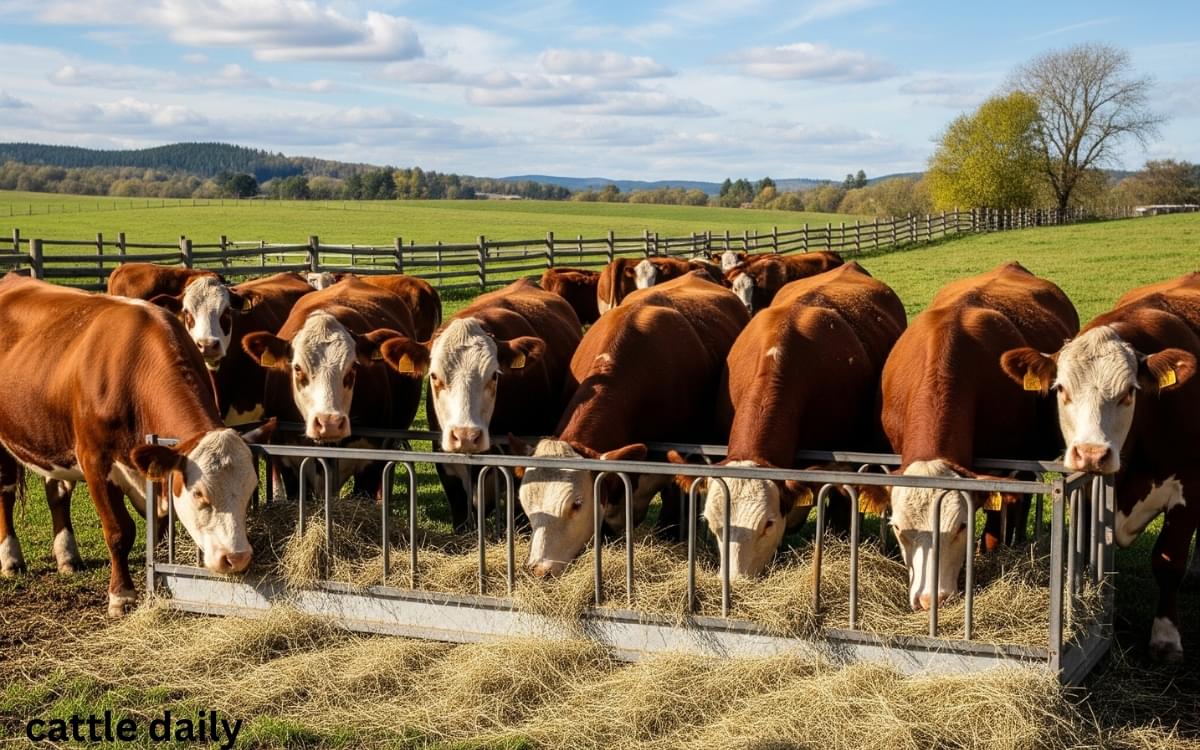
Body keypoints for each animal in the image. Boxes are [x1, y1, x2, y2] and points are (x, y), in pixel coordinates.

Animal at [0, 274, 273, 616]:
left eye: (251, 490)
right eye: (199, 494)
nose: (237, 557)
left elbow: (159, 532)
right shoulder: (94, 461)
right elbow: (120, 531)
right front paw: (122, 595)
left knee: (58, 493)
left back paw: (67, 556)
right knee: (6, 493)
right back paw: (11, 559)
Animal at [999, 272, 1200, 661]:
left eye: (1129, 392)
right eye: (1061, 389)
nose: (1091, 454)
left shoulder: (1191, 486)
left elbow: (1169, 562)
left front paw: (1166, 637)